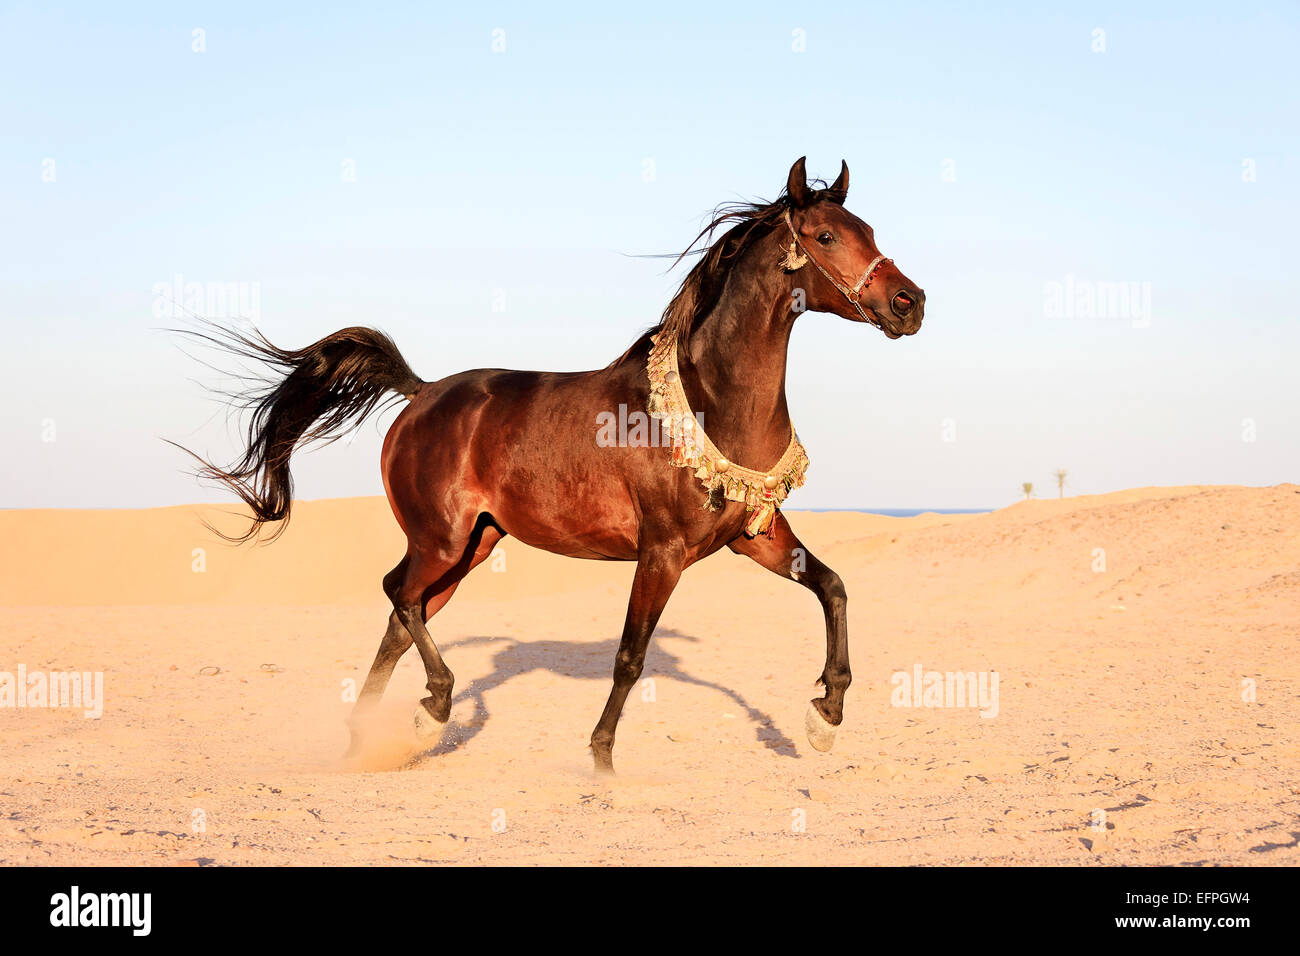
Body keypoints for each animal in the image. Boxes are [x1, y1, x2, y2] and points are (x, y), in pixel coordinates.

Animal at [183, 157, 925, 773]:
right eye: (825, 237)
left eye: (868, 229)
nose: (909, 303)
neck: (714, 399)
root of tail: (423, 393)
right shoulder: (663, 553)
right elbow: (629, 657)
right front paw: (600, 758)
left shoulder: (755, 537)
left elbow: (833, 588)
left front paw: (824, 717)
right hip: (440, 540)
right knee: (399, 596)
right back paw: (433, 706)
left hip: (472, 547)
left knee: (402, 617)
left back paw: (376, 735)